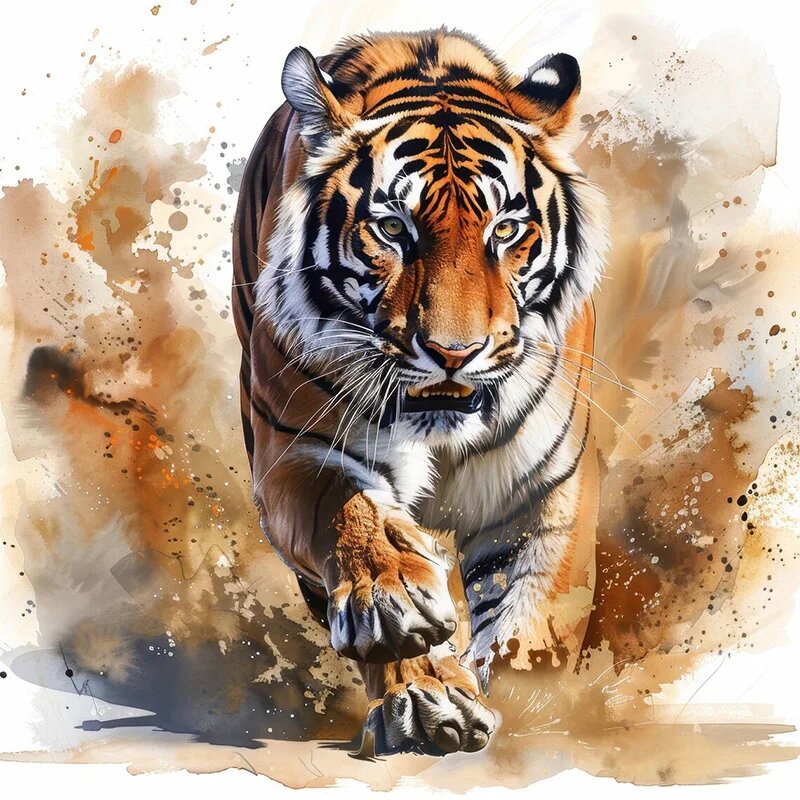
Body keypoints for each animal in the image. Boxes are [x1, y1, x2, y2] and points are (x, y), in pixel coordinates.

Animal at [232, 28, 608, 755]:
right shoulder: (294, 452)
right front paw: (398, 615)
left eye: (505, 231)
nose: (453, 353)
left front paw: (535, 715)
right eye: (392, 229)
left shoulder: (550, 484)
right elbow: (348, 508)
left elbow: (536, 625)